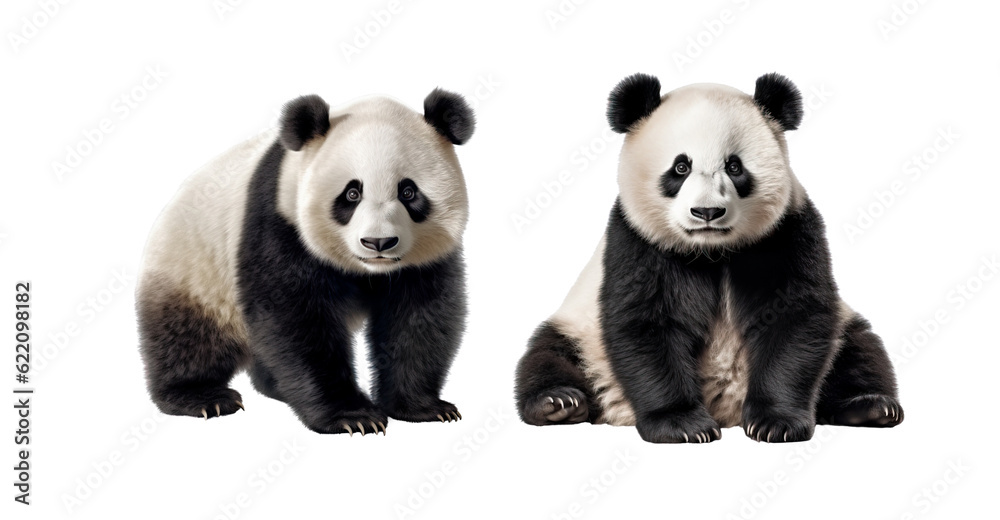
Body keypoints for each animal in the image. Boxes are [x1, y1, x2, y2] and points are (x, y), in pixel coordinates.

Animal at [137, 89, 475, 435]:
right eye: (352, 194)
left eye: (408, 192)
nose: (378, 243)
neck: (370, 270)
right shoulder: (280, 222)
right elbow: (296, 320)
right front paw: (352, 415)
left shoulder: (424, 260)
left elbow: (419, 317)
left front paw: (422, 407)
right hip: (194, 269)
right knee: (189, 338)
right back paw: (203, 397)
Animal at [515, 73, 903, 443]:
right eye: (680, 168)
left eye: (734, 167)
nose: (707, 212)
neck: (710, 251)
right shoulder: (637, 242)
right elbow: (644, 322)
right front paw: (681, 425)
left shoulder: (787, 231)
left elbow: (795, 316)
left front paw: (776, 423)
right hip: (581, 332)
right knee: (548, 354)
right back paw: (559, 403)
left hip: (844, 328)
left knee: (859, 350)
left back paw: (870, 407)